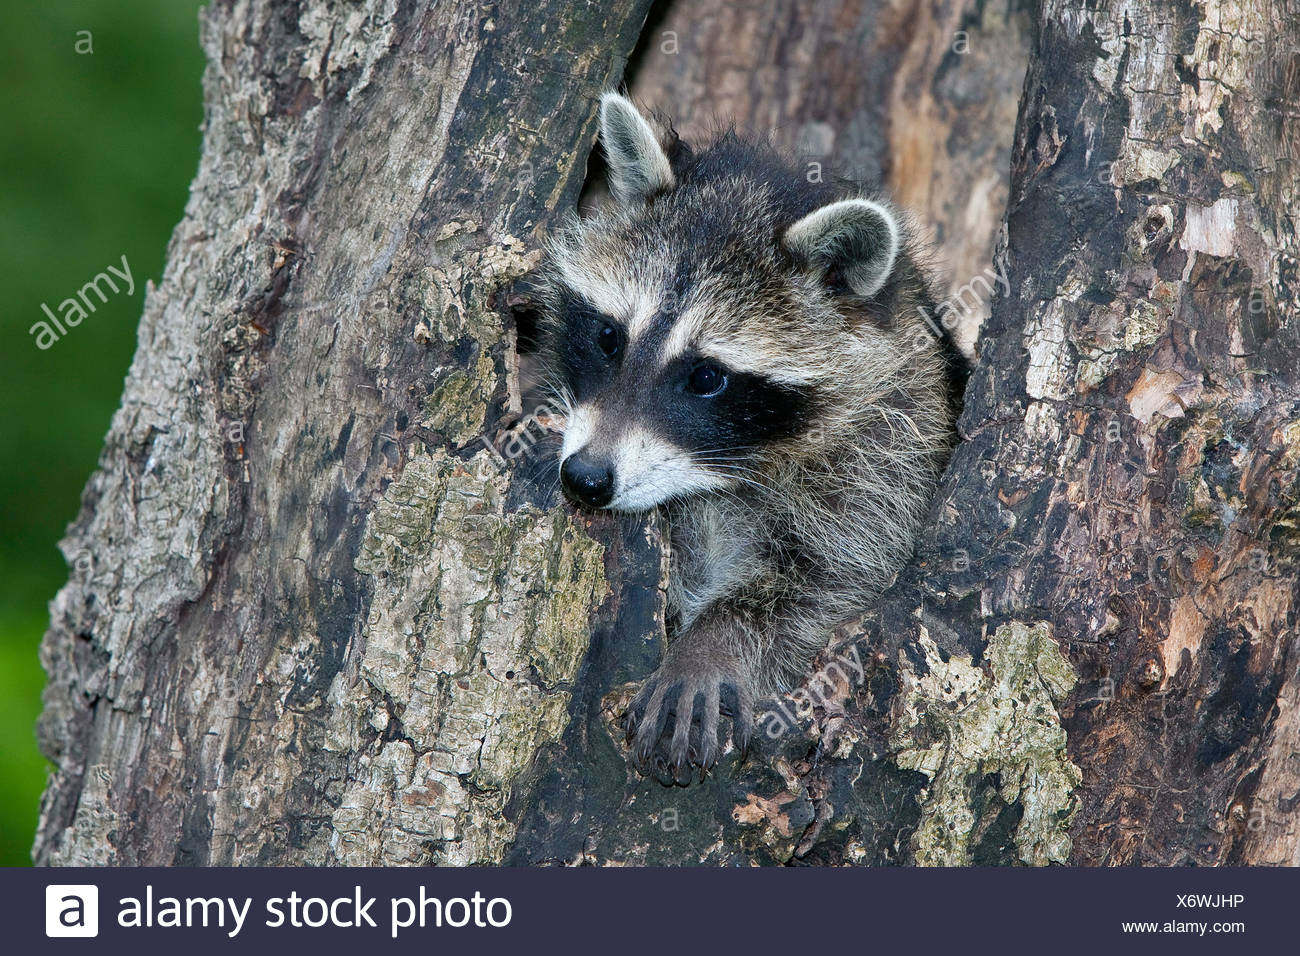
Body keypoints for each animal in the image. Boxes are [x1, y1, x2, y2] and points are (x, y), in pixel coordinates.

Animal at [532, 93, 965, 785]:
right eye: (609, 338)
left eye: (707, 377)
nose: (586, 478)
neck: (719, 477)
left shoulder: (893, 446)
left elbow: (840, 573)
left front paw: (714, 641)